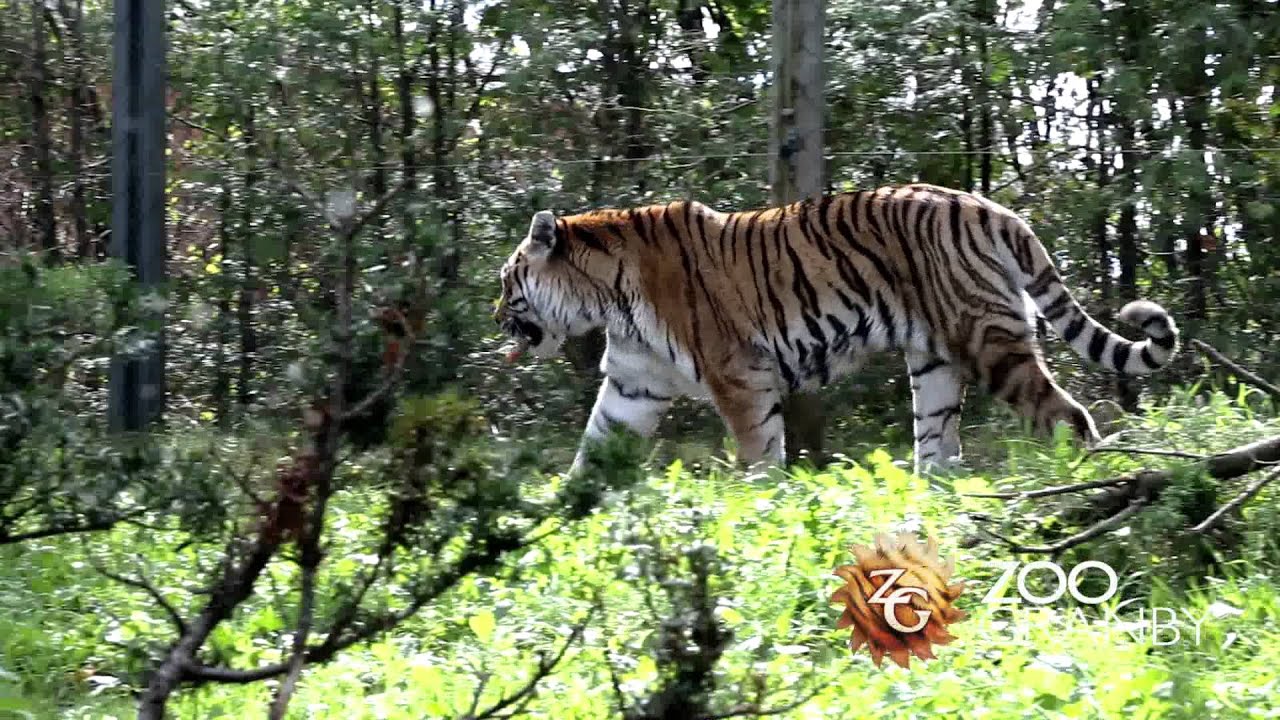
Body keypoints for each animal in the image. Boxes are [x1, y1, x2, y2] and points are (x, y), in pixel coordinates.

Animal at [494, 183, 1179, 475]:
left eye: (507, 281)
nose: (497, 317)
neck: (607, 295)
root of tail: (990, 206)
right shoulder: (633, 382)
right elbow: (591, 449)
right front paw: (562, 518)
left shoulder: (739, 376)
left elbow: (760, 454)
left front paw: (759, 510)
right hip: (933, 362)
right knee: (938, 446)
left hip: (990, 340)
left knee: (1069, 417)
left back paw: (1079, 487)